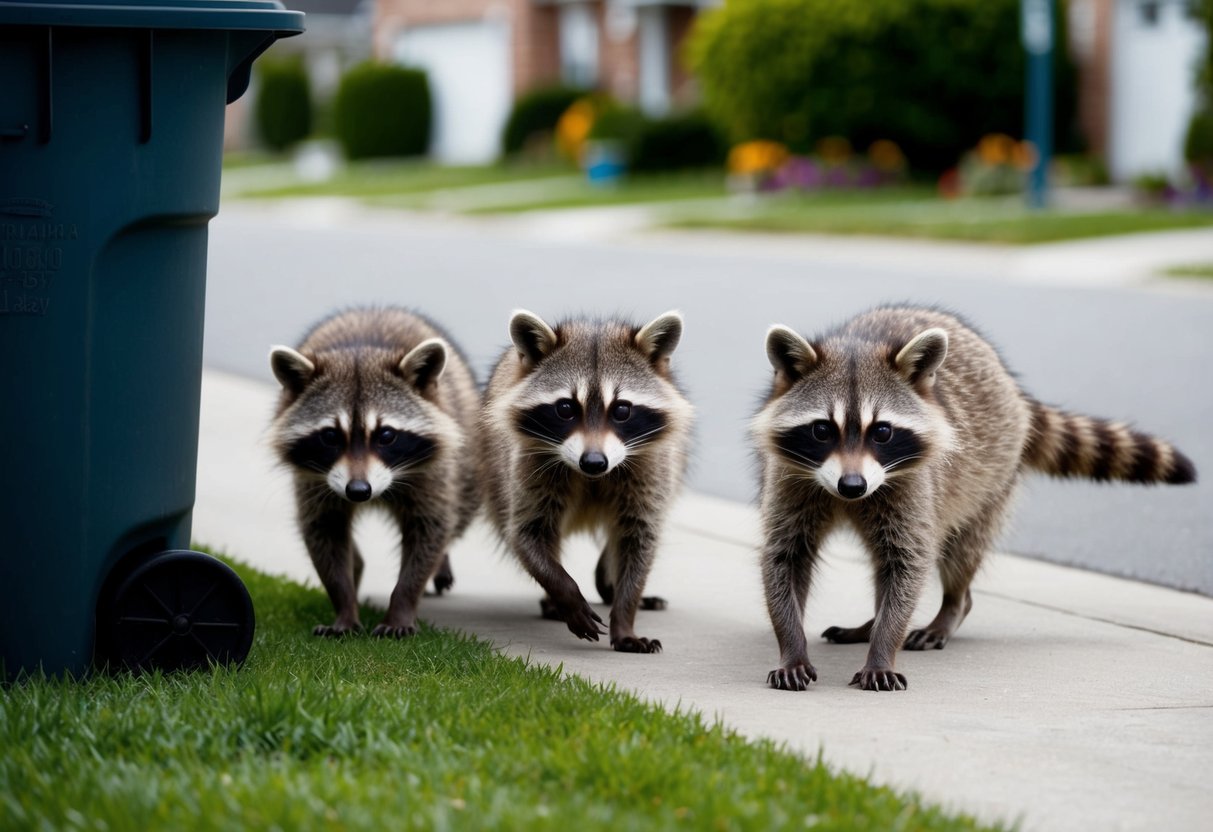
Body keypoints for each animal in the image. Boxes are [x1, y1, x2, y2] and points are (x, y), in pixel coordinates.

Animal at [268, 307, 480, 638]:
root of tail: (378, 308)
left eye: (386, 435)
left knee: (458, 514)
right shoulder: (314, 481)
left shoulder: (433, 474)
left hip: (467, 458)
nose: (358, 491)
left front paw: (402, 605)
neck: (361, 351)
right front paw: (344, 605)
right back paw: (356, 566)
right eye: (330, 436)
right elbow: (324, 531)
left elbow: (431, 527)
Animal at [479, 310, 694, 652]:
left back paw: (608, 584)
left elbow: (640, 537)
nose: (593, 462)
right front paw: (564, 592)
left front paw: (625, 617)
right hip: (495, 469)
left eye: (622, 410)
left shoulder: (651, 468)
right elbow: (527, 534)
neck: (593, 476)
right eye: (565, 408)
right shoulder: (527, 465)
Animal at [753, 306, 1196, 692]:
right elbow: (784, 558)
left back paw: (948, 608)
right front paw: (792, 646)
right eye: (822, 430)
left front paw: (884, 648)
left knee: (958, 553)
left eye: (882, 432)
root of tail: (1012, 387)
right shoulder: (791, 480)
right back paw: (870, 623)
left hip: (989, 483)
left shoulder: (914, 485)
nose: (852, 486)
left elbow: (909, 563)